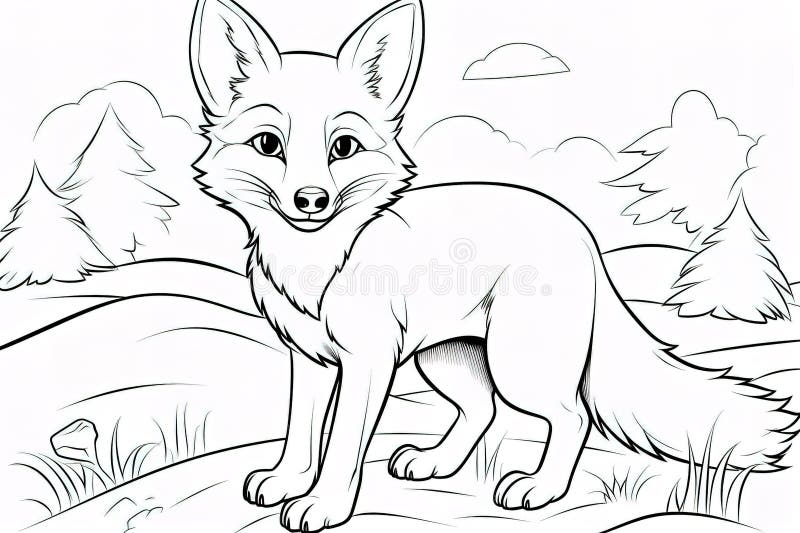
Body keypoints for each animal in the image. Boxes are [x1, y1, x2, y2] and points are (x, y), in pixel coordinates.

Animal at [189, 0, 798, 530]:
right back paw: (435, 462)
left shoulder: (367, 364)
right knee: (482, 411)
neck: (317, 265)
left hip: (518, 366)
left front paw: (324, 507)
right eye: (268, 143)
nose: (311, 201)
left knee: (572, 416)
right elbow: (301, 431)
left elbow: (340, 444)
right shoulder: (311, 359)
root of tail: (584, 236)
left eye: (343, 146)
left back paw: (540, 489)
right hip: (446, 358)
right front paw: (287, 481)